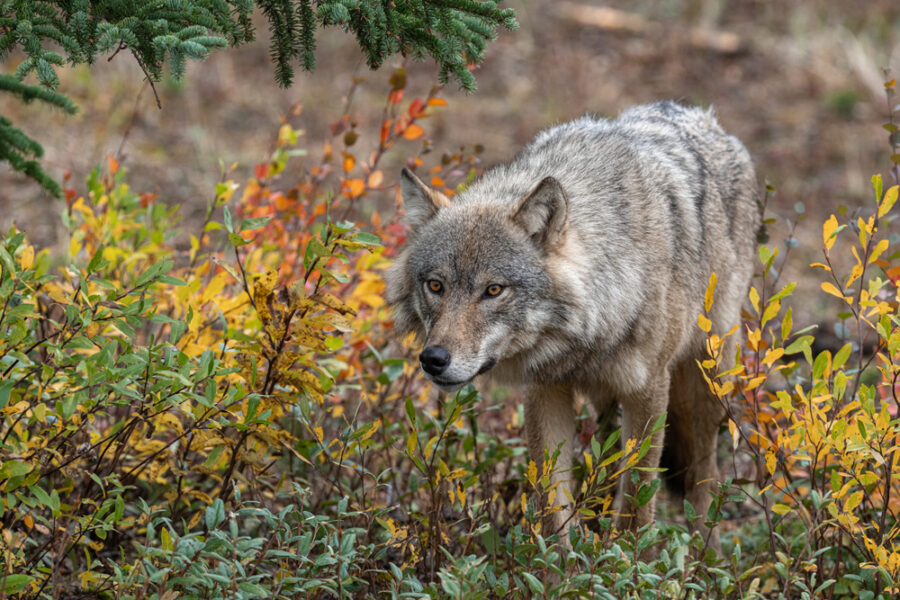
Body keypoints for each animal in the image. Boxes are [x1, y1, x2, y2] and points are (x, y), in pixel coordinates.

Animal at [385, 101, 760, 542]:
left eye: (493, 290)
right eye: (435, 285)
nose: (433, 359)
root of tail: (707, 120)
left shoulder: (649, 389)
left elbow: (637, 505)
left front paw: (630, 559)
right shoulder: (546, 390)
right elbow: (553, 508)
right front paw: (562, 562)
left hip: (706, 383)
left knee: (704, 475)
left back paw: (704, 551)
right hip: (608, 401)